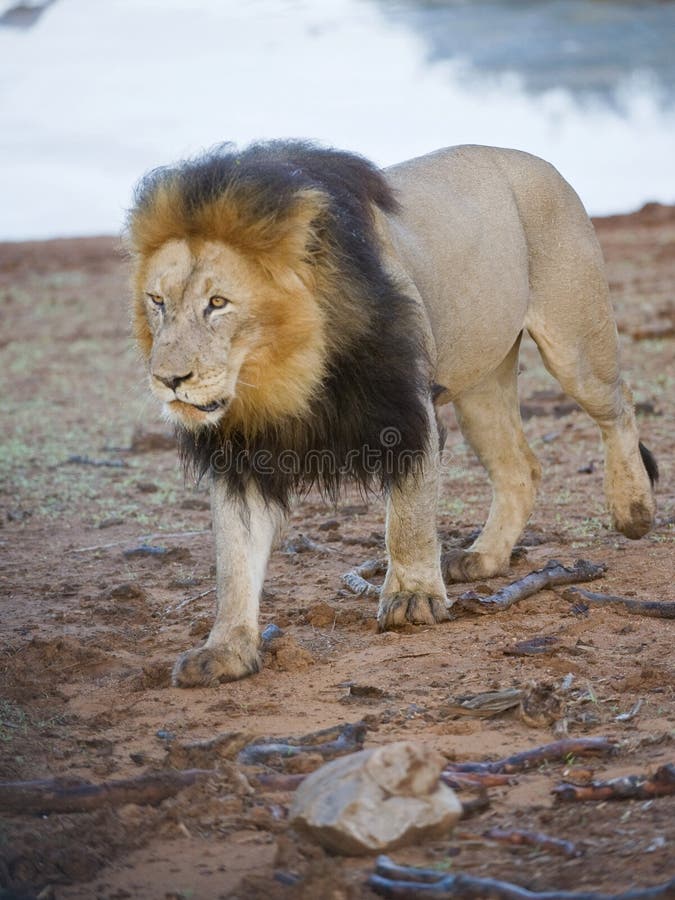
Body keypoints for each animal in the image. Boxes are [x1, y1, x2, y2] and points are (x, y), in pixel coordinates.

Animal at [126, 141, 658, 688]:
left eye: (218, 302)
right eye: (157, 301)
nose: (168, 379)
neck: (283, 376)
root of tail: (537, 161)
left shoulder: (408, 414)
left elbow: (406, 520)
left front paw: (412, 599)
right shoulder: (243, 454)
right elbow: (234, 561)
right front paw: (226, 650)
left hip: (575, 346)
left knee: (620, 407)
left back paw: (633, 509)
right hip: (480, 388)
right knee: (521, 469)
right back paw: (485, 557)